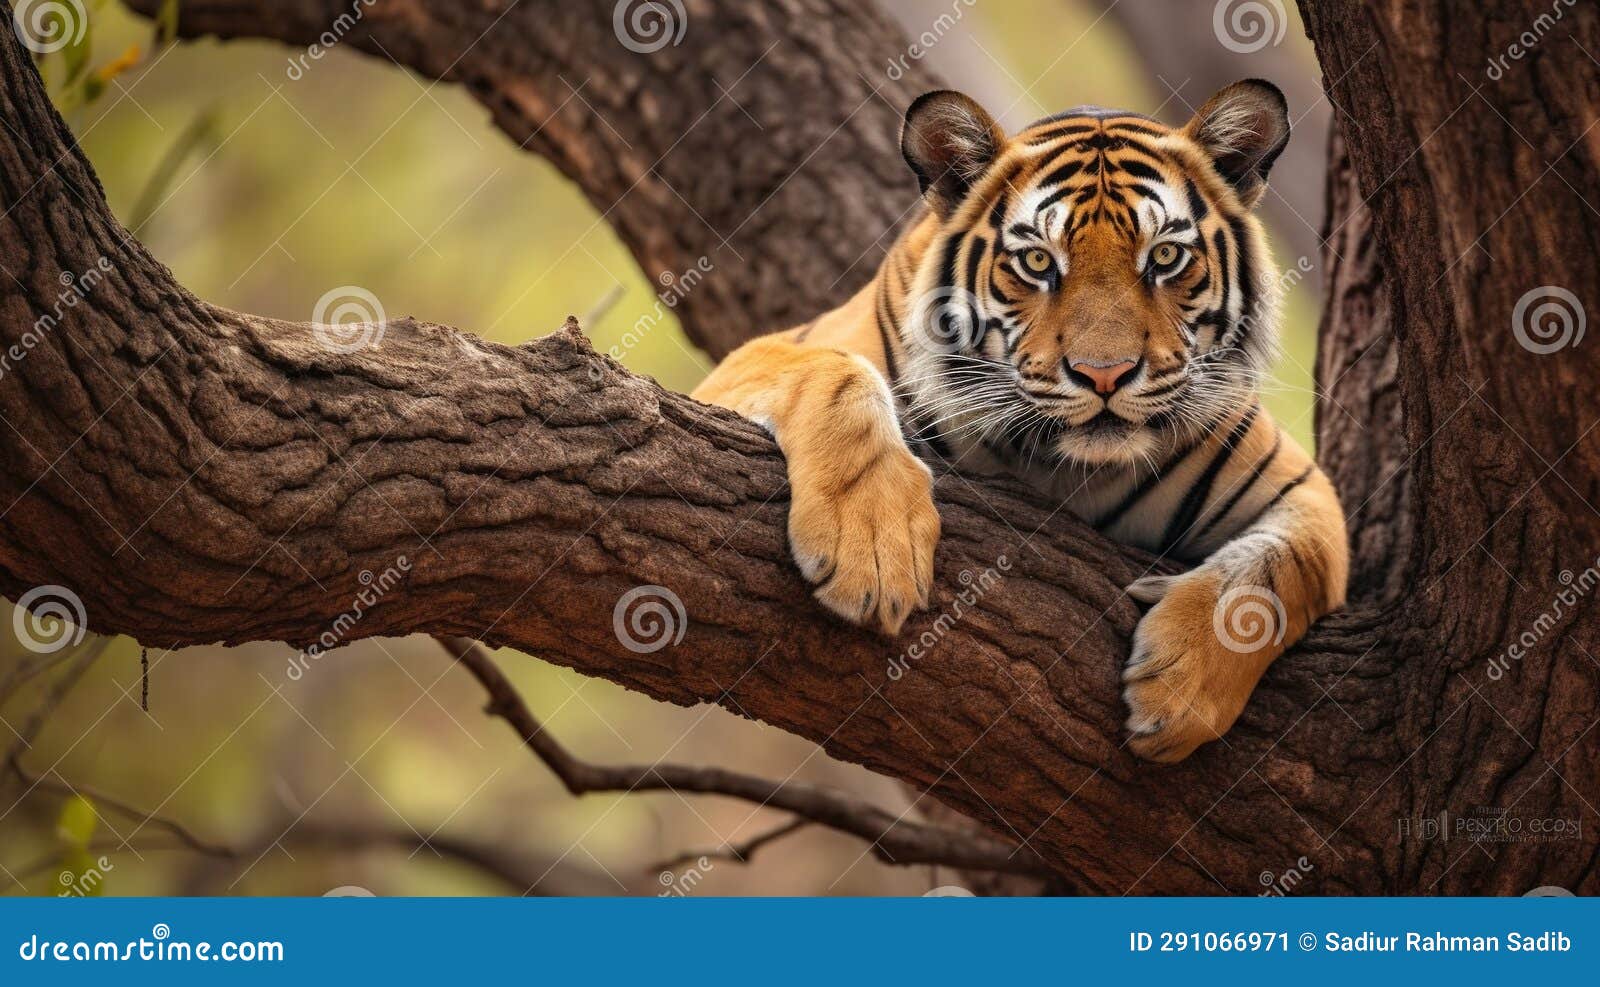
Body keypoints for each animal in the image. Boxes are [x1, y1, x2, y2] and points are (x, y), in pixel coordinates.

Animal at [692, 80, 1348, 762]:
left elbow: (1282, 570)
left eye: (1166, 255)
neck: (1064, 468)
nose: (1105, 375)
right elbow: (836, 373)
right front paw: (869, 549)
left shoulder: (1307, 492)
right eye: (1037, 262)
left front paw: (1181, 691)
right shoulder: (755, 362)